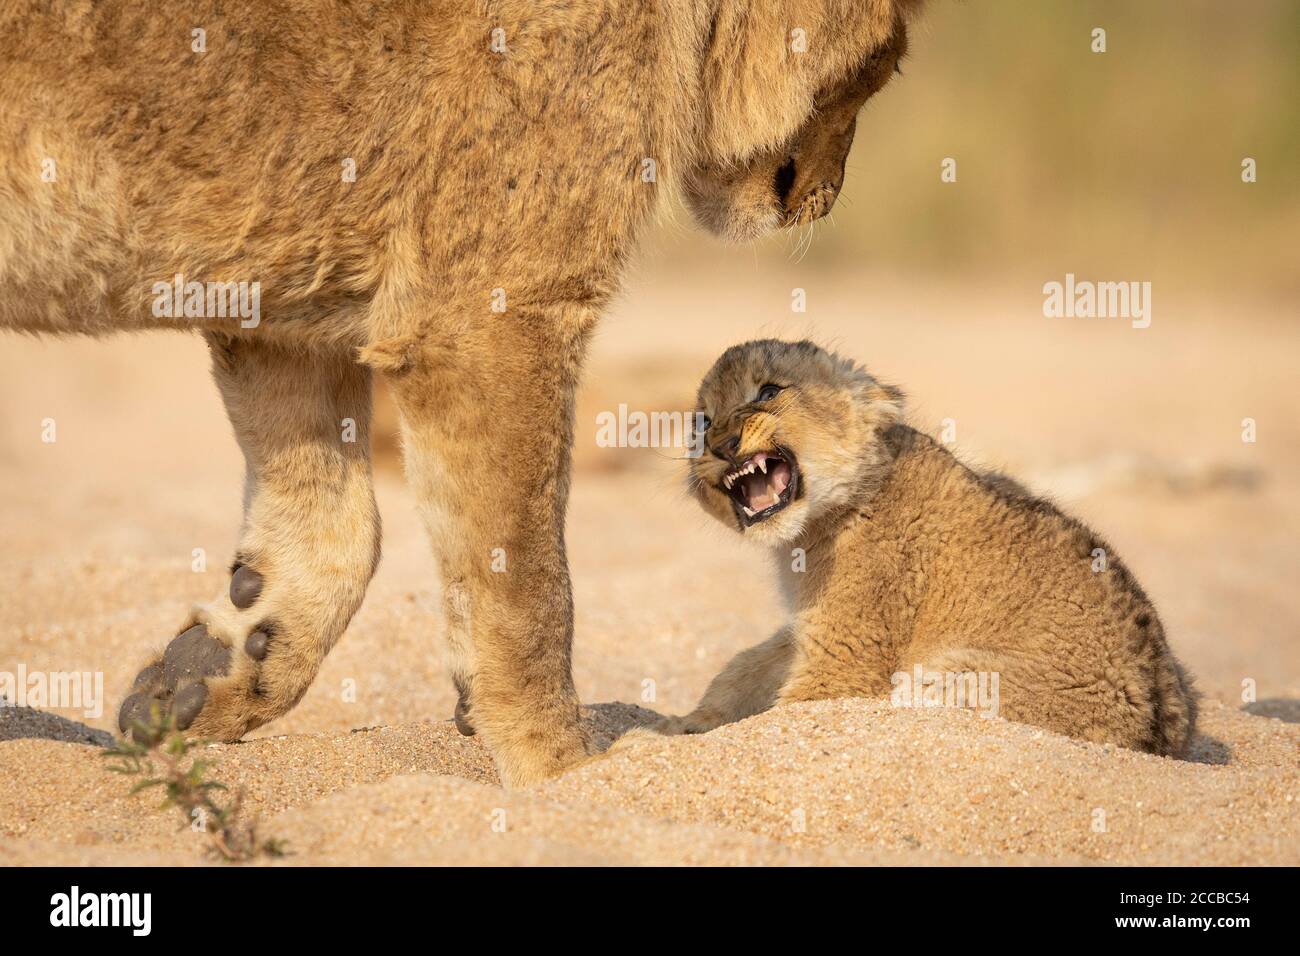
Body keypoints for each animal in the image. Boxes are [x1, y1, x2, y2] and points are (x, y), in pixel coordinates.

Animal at [0, 0, 919, 787]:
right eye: (886, 63)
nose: (825, 196)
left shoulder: (278, 291)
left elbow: (335, 522)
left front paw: (207, 678)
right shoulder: (494, 311)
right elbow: (527, 587)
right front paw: (564, 775)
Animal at [662, 339, 1198, 756]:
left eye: (769, 391)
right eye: (701, 422)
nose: (721, 444)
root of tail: (1162, 734)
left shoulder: (848, 655)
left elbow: (789, 712)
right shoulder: (807, 625)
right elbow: (745, 666)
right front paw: (685, 722)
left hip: (950, 674)